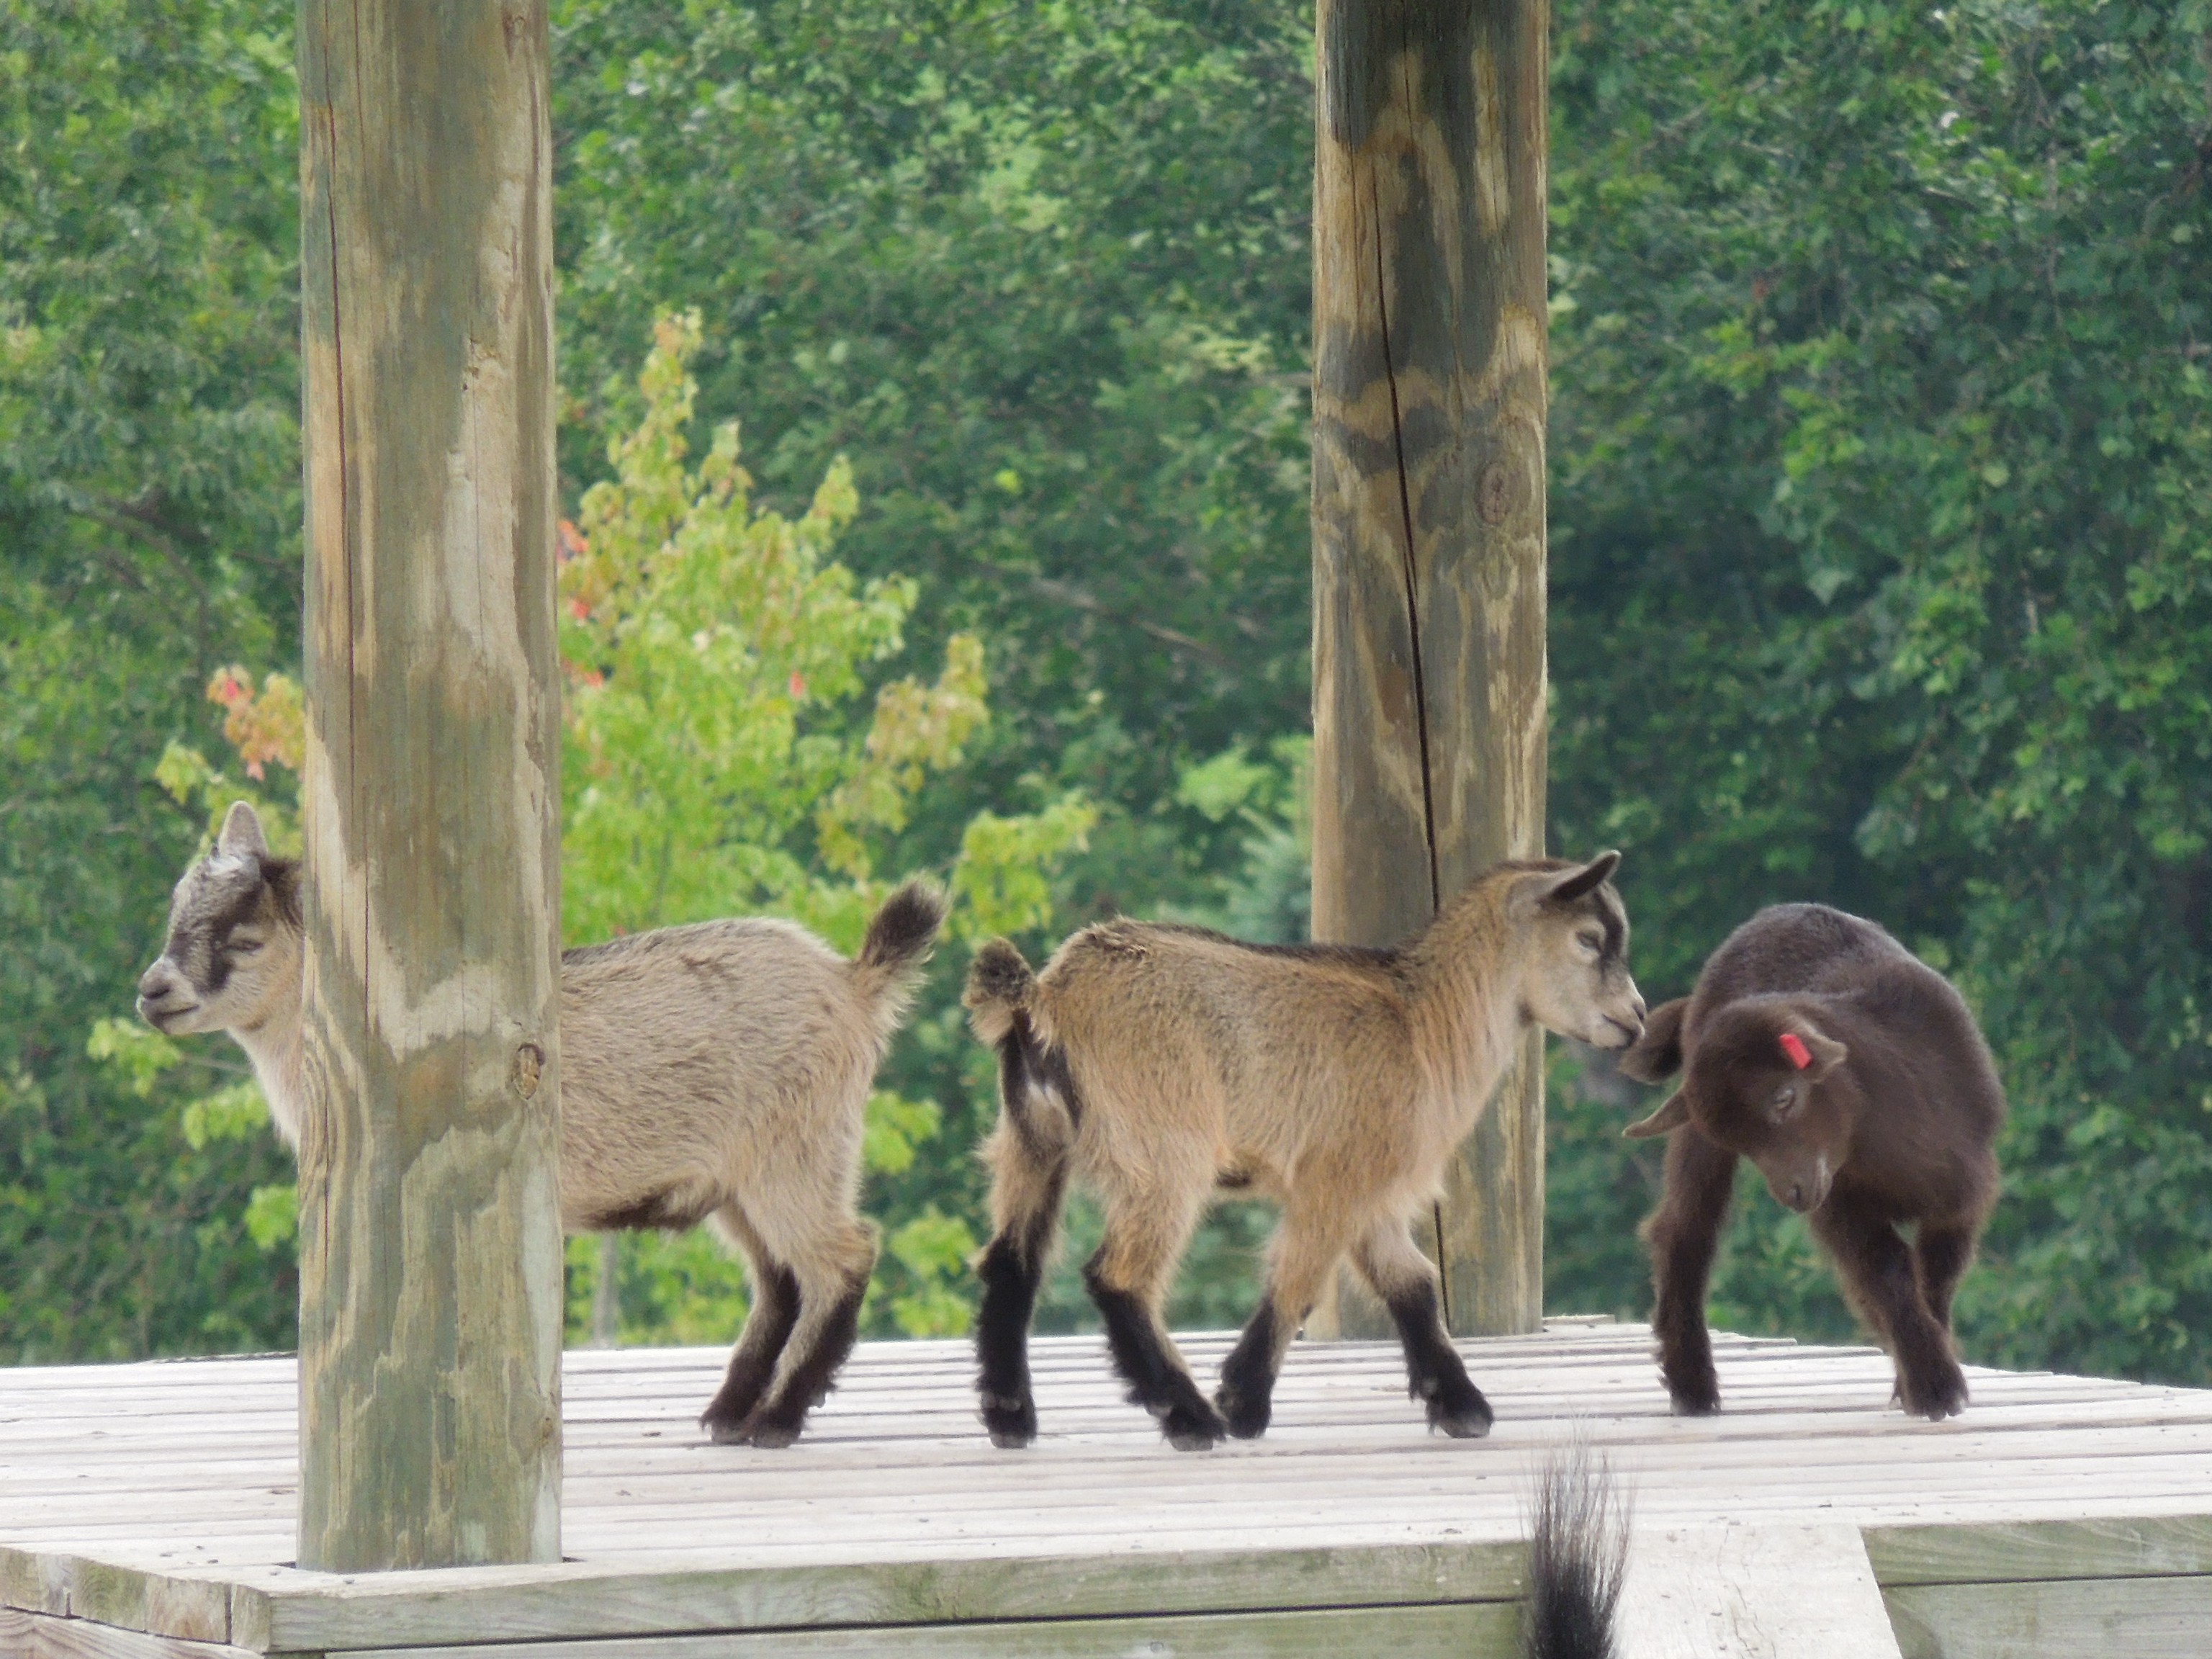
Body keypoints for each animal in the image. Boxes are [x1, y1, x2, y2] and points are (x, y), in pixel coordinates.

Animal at [136, 801, 943, 1447]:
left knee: (843, 1257)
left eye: (244, 941)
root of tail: (853, 982)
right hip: (746, 1179)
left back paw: (776, 1420)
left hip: (797, 1151)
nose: (153, 991)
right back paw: (730, 1413)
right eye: (176, 917)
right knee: (780, 1279)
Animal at [962, 854, 1646, 1451]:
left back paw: (1009, 1415)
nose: (1636, 1017)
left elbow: (1414, 1283)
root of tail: (1046, 1000)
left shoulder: (1372, 1193)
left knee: (1012, 1263)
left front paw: (1461, 1406)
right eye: (1589, 940)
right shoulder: (1337, 1177)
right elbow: (1298, 1280)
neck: (1424, 1024)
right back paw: (1189, 1416)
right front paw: (1242, 1403)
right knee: (1119, 1276)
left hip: (1031, 1141)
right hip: (1163, 1153)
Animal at [1620, 902, 2004, 1421]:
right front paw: (1933, 1386)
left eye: (1785, 1097)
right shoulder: (1841, 1203)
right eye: (1739, 1139)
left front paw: (1923, 1380)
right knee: (1684, 1231)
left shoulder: (1962, 1193)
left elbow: (1935, 1278)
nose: (1794, 1194)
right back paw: (1692, 1385)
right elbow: (1888, 1274)